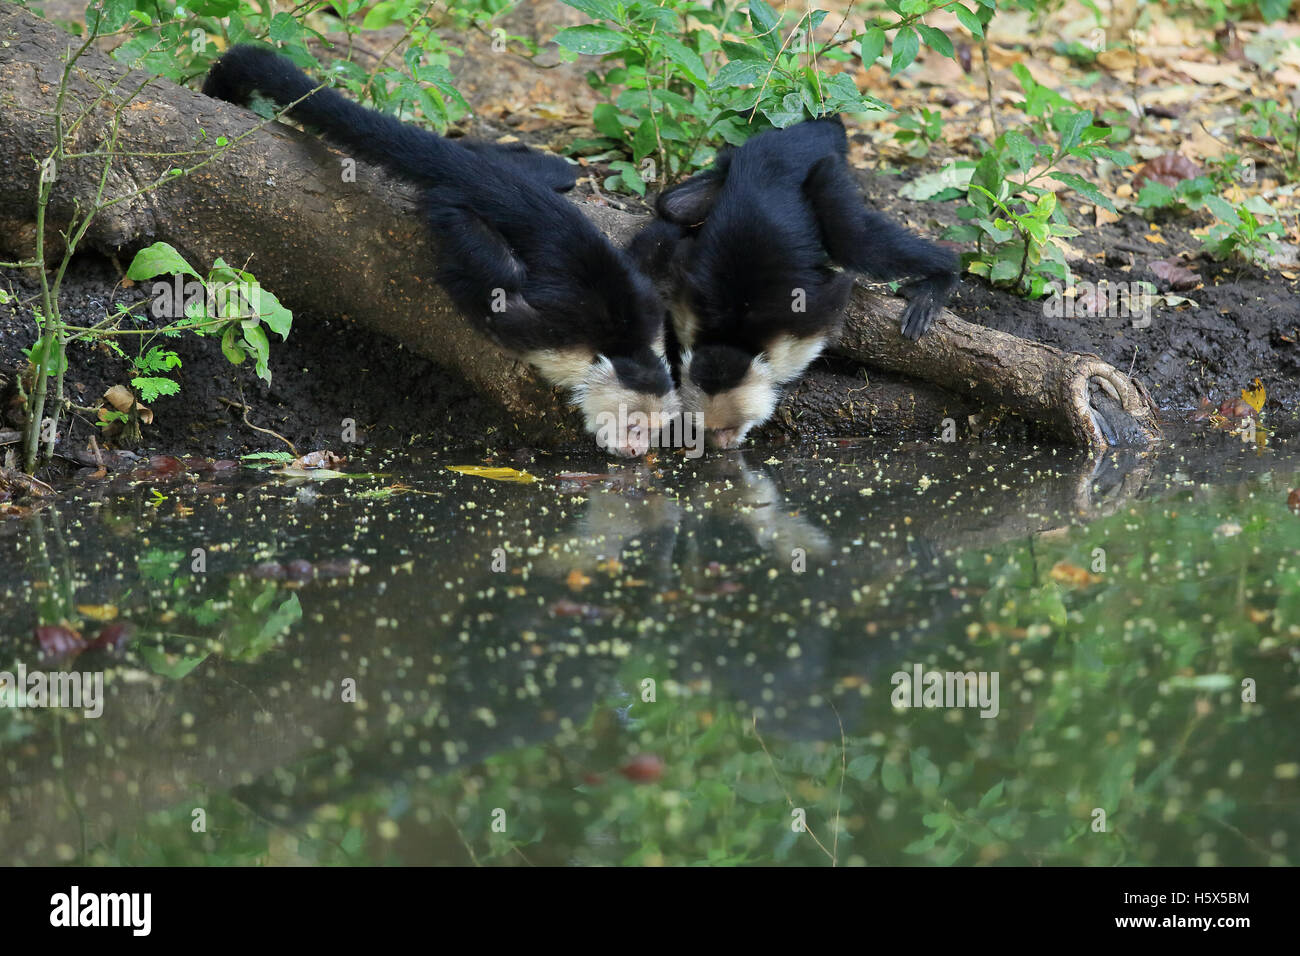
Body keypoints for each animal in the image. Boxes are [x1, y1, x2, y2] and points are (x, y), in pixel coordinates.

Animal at [202, 45, 678, 457]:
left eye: (653, 431)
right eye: (633, 426)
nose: (638, 450)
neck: (621, 347)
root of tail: (489, 179)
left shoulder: (652, 312)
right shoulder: (555, 339)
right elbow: (511, 315)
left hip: (519, 172)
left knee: (555, 170)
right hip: (459, 207)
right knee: (476, 240)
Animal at [631, 115, 957, 449]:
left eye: (729, 428)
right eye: (706, 430)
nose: (723, 445)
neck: (733, 337)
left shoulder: (798, 330)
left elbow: (833, 297)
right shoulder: (687, 309)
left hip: (822, 165)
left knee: (853, 240)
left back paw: (943, 274)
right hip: (742, 153)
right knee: (673, 205)